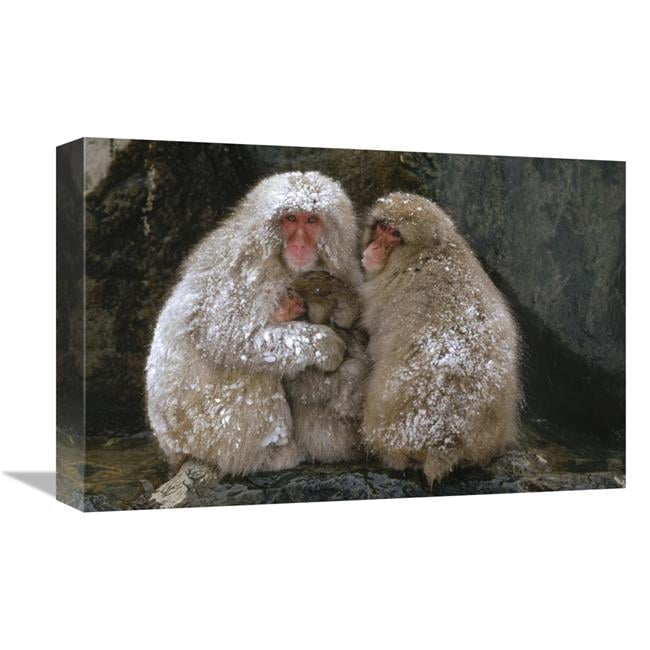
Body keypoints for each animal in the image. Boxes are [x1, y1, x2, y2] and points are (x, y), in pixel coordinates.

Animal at [359, 192, 520, 486]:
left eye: (395, 234)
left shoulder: (382, 297)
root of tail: (446, 439)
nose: (375, 247)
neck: (427, 255)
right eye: (382, 227)